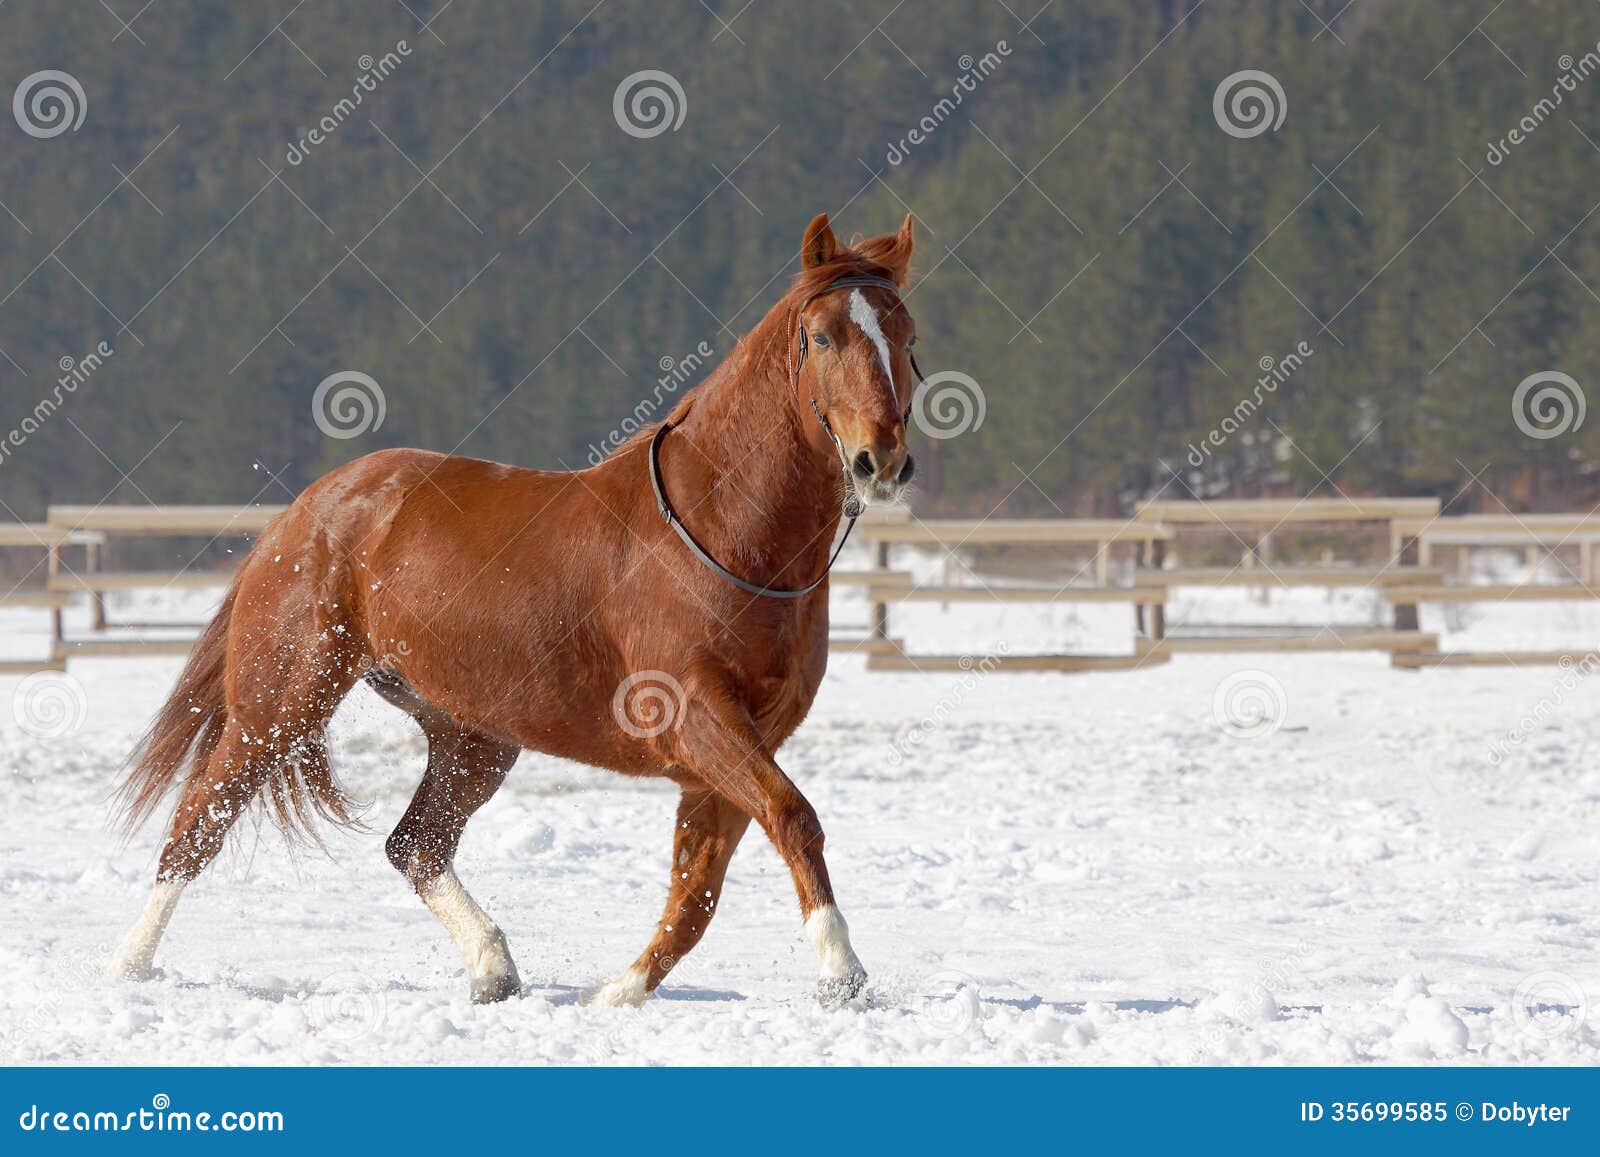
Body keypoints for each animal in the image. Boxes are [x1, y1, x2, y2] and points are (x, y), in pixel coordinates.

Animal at [106, 212, 921, 1008]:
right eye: (824, 336)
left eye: (907, 336)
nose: (880, 460)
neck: (722, 532)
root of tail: (303, 513)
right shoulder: (696, 716)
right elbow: (793, 818)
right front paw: (842, 973)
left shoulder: (735, 746)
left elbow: (698, 887)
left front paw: (619, 992)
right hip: (278, 705)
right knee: (197, 825)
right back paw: (129, 968)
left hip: (472, 735)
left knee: (415, 844)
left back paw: (493, 967)